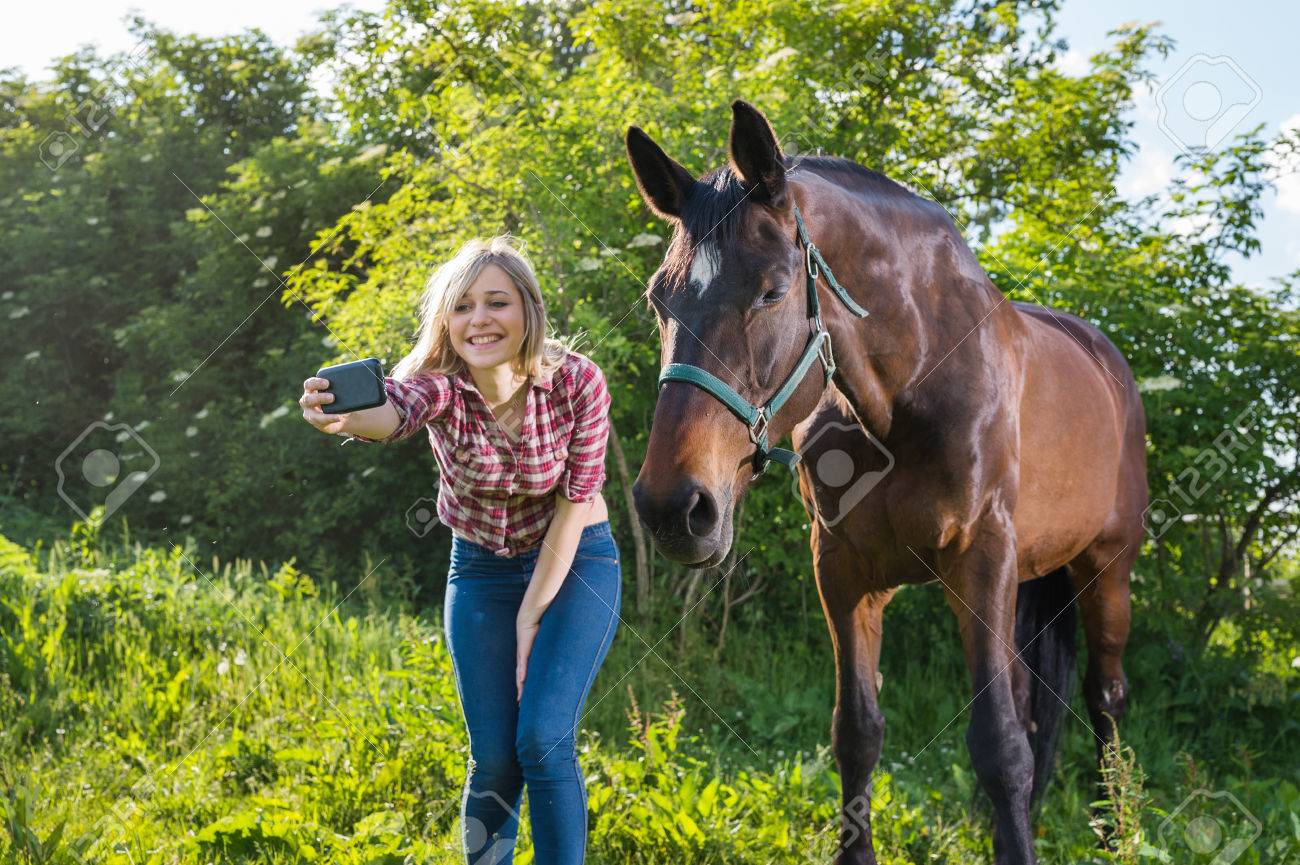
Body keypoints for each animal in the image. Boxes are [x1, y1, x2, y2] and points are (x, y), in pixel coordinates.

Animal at [624, 100, 1148, 865]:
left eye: (772, 291)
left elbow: (999, 746)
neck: (915, 382)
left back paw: (1118, 829)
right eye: (659, 301)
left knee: (1105, 696)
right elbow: (857, 732)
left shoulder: (981, 560)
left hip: (1106, 570)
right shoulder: (844, 572)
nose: (673, 506)